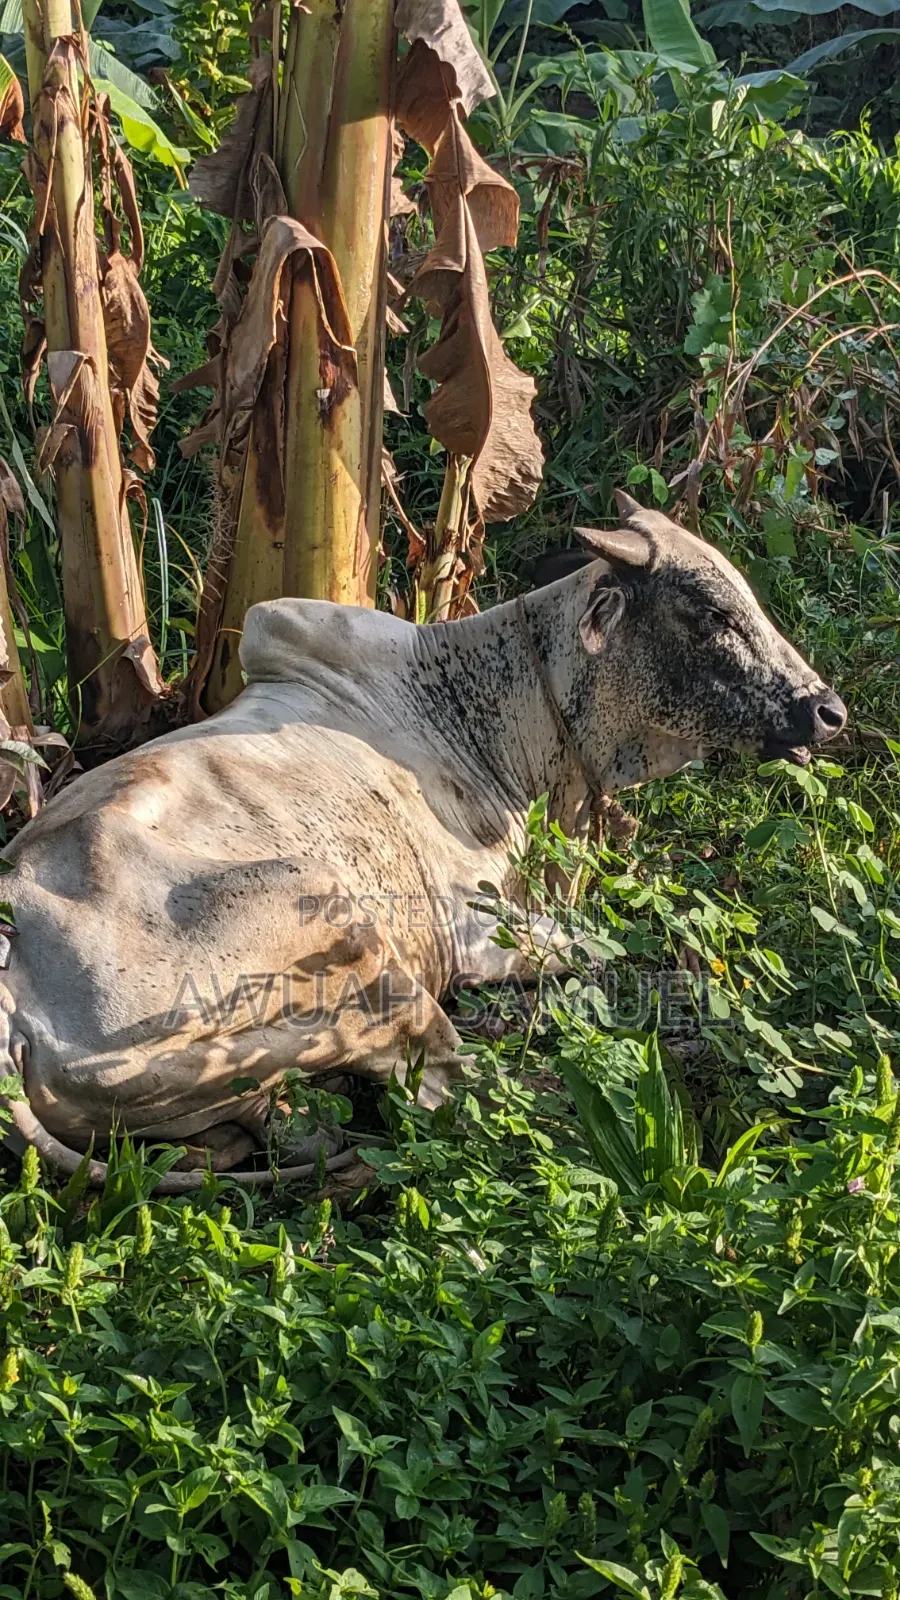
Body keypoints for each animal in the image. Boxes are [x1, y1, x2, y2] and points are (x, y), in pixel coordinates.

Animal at [0, 495, 846, 1189]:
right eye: (710, 612)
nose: (827, 711)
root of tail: (16, 1006)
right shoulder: (474, 929)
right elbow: (605, 948)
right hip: (347, 933)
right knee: (449, 1090)